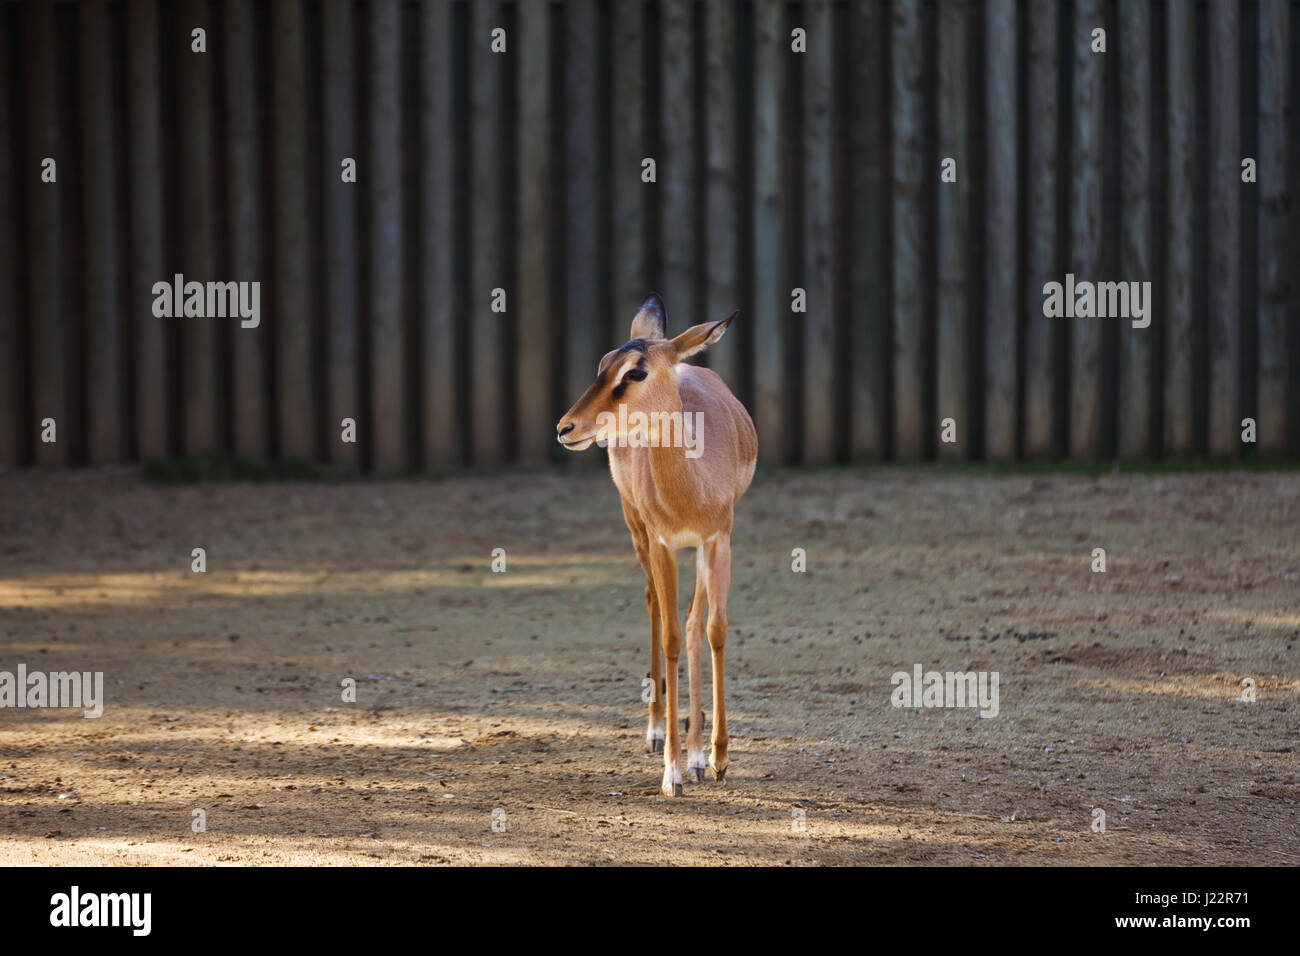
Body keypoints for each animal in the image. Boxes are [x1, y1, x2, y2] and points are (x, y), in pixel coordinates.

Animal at [556, 294, 757, 796]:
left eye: (636, 373)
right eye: (602, 364)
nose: (566, 428)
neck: (692, 484)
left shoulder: (718, 539)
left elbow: (712, 629)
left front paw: (715, 758)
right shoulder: (663, 542)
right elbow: (669, 636)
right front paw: (671, 772)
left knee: (692, 622)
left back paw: (698, 752)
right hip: (636, 530)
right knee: (653, 604)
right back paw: (656, 732)